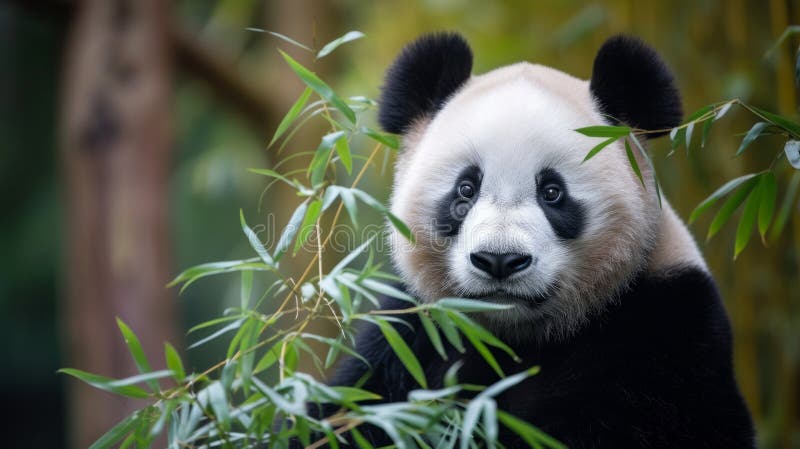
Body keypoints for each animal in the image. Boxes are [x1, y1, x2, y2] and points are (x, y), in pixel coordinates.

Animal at [322, 33, 756, 448]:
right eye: (465, 189)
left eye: (552, 192)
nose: (499, 260)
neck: (519, 336)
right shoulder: (413, 331)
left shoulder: (669, 332)